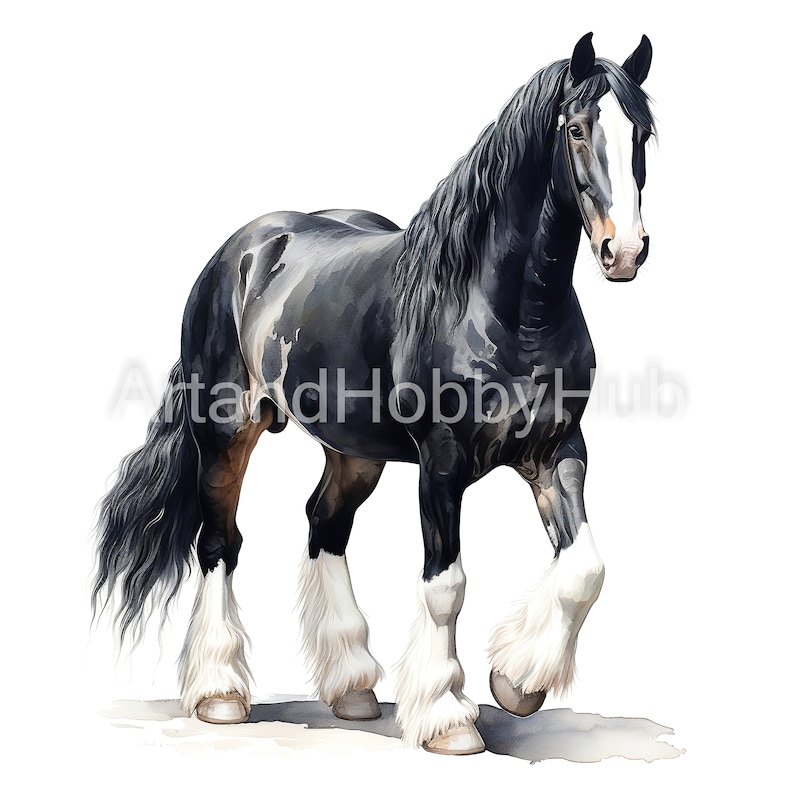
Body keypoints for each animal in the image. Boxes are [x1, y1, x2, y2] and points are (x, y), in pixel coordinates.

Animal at [93, 32, 655, 755]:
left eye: (642, 132)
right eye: (579, 130)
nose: (625, 250)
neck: (505, 310)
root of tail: (241, 252)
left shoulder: (557, 449)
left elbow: (585, 570)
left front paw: (516, 682)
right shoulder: (442, 465)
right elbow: (446, 585)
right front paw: (448, 718)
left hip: (354, 451)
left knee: (323, 525)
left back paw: (353, 687)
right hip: (225, 432)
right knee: (218, 542)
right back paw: (220, 694)